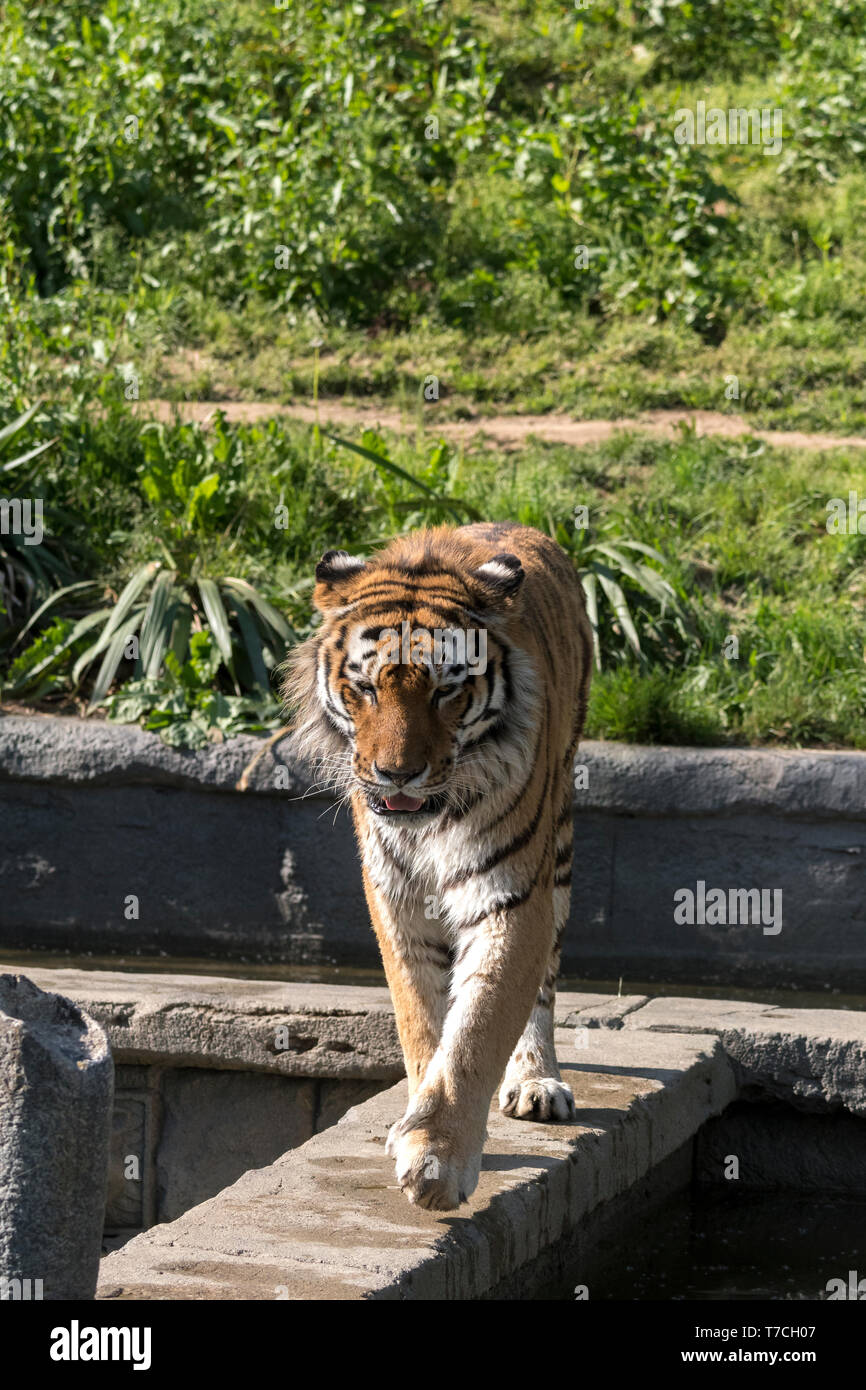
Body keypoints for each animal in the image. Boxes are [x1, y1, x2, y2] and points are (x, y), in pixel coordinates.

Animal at [283, 521, 592, 1211]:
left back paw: (536, 1080)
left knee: (544, 982)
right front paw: (415, 1131)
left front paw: (439, 1160)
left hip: (557, 845)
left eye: (445, 690)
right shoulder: (396, 898)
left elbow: (479, 1025)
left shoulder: (511, 897)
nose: (397, 773)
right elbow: (422, 1020)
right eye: (367, 687)